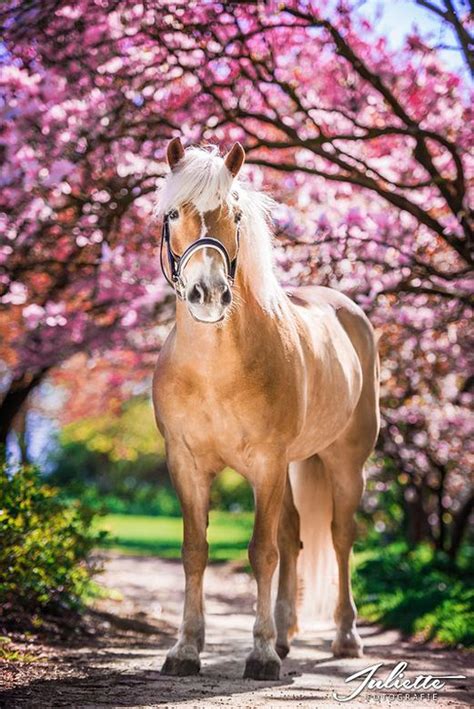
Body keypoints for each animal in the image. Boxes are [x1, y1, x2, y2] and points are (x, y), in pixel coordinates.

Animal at [152, 137, 380, 681]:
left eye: (234, 214)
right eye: (172, 213)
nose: (209, 294)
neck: (213, 370)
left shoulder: (266, 464)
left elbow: (261, 551)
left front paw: (258, 655)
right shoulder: (186, 465)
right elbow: (195, 551)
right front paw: (186, 649)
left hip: (343, 464)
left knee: (340, 537)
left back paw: (345, 638)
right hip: (294, 468)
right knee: (294, 536)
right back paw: (285, 634)